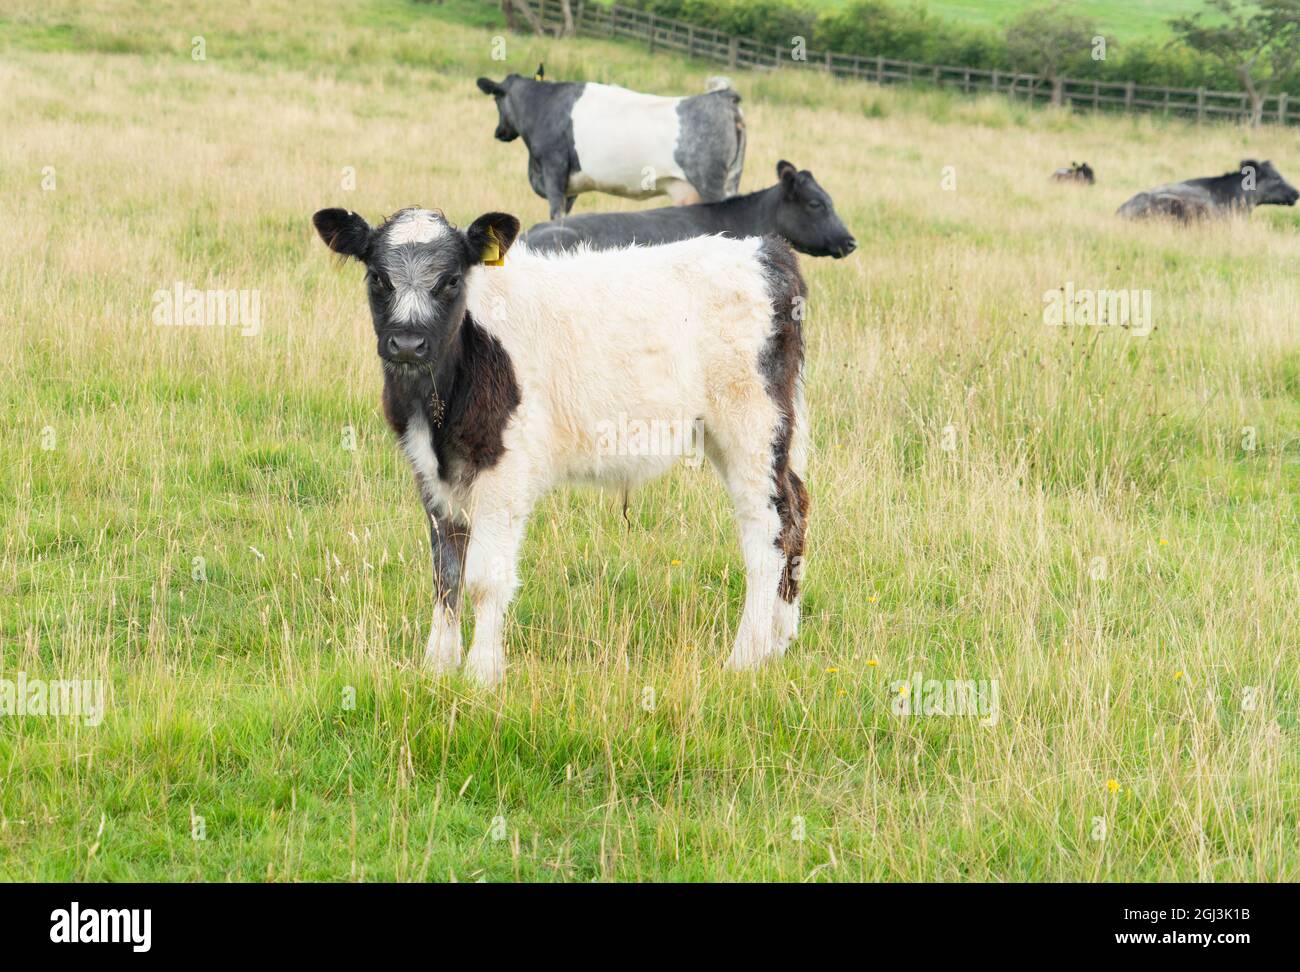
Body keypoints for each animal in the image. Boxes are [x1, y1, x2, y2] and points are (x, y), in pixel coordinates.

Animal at [311, 206, 808, 686]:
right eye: (378, 276)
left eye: (451, 279)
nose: (408, 343)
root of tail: (764, 250)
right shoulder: (432, 472)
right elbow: (446, 574)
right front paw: (438, 665)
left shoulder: (505, 469)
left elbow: (485, 579)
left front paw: (482, 673)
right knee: (795, 510)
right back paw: (778, 642)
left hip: (751, 425)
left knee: (766, 531)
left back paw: (745, 657)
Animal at [476, 66, 746, 220]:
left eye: (496, 99)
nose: (499, 132)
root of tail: (722, 96)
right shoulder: (570, 187)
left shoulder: (553, 170)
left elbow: (555, 216)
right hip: (730, 181)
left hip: (710, 184)